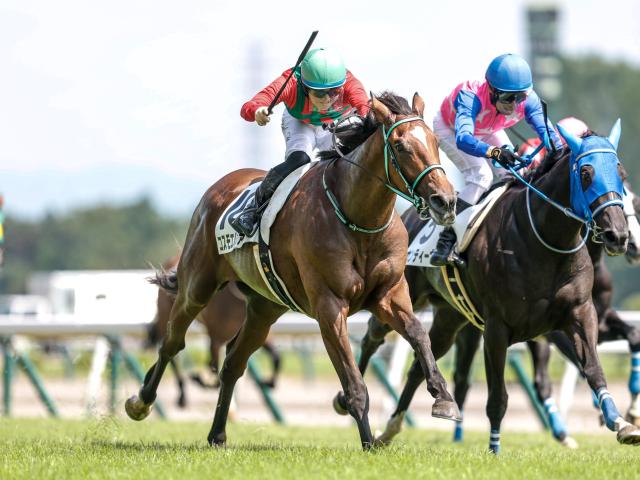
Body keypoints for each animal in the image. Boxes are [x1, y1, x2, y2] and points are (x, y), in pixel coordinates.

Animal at [146, 254, 281, 408]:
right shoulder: (217, 339)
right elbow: (214, 369)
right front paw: (199, 379)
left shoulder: (255, 331)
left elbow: (276, 356)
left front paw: (269, 383)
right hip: (167, 315)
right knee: (171, 352)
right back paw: (181, 394)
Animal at [335, 121, 640, 452]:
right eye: (585, 173)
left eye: (621, 173)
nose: (618, 236)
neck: (546, 240)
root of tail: (410, 215)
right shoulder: (498, 327)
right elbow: (498, 398)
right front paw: (494, 450)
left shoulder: (580, 314)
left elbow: (594, 368)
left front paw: (622, 422)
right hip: (398, 297)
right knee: (373, 337)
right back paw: (346, 401)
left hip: (451, 316)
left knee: (419, 362)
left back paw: (393, 427)